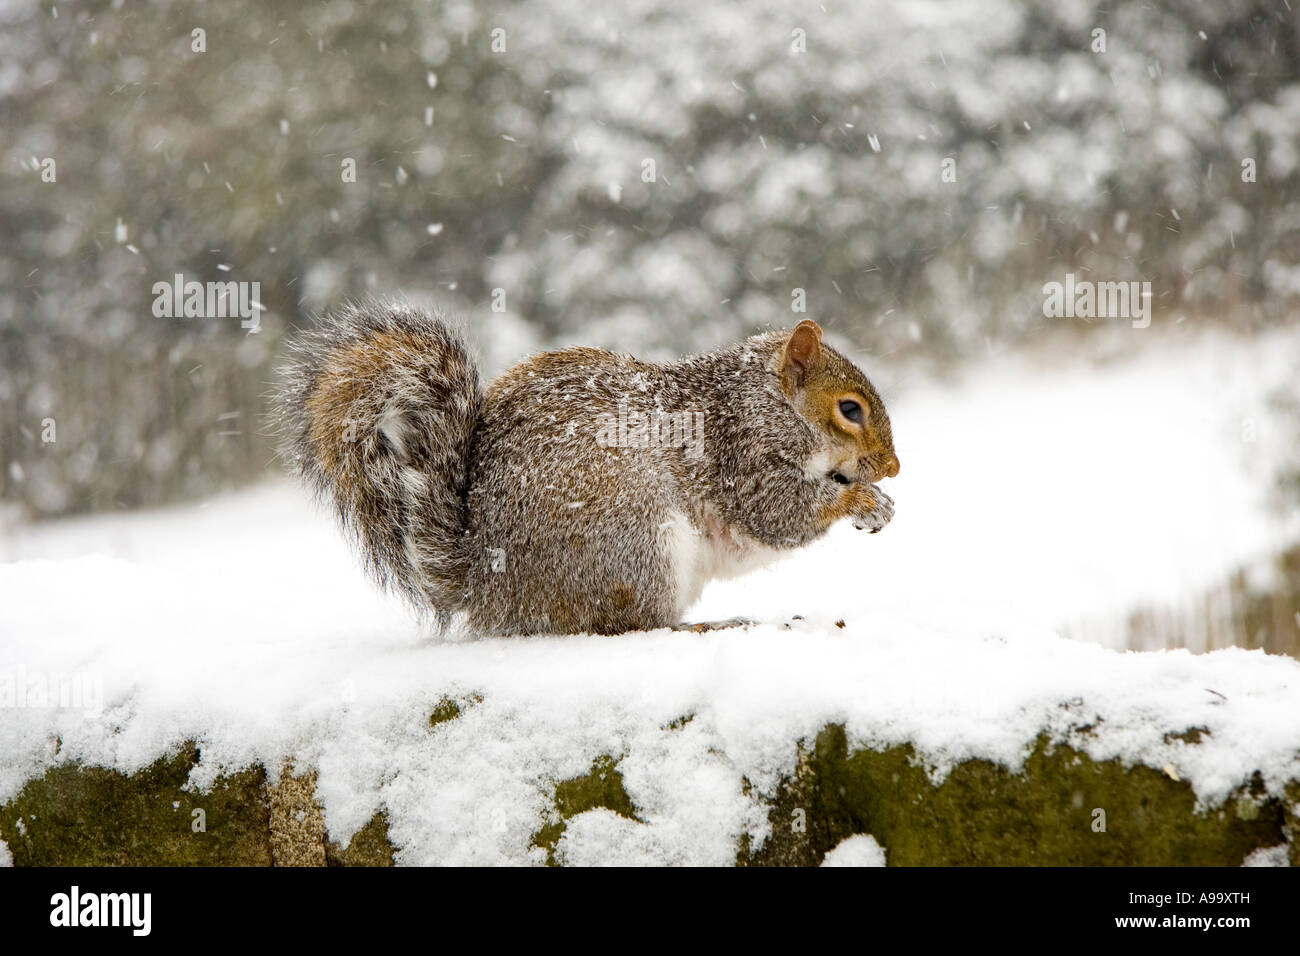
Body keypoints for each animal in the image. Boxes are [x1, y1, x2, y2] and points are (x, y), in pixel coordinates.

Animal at [276, 302, 899, 636]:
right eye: (850, 410)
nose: (893, 468)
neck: (762, 400)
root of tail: (488, 581)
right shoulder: (740, 455)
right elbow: (779, 514)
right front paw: (863, 501)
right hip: (638, 542)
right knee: (636, 625)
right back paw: (708, 625)